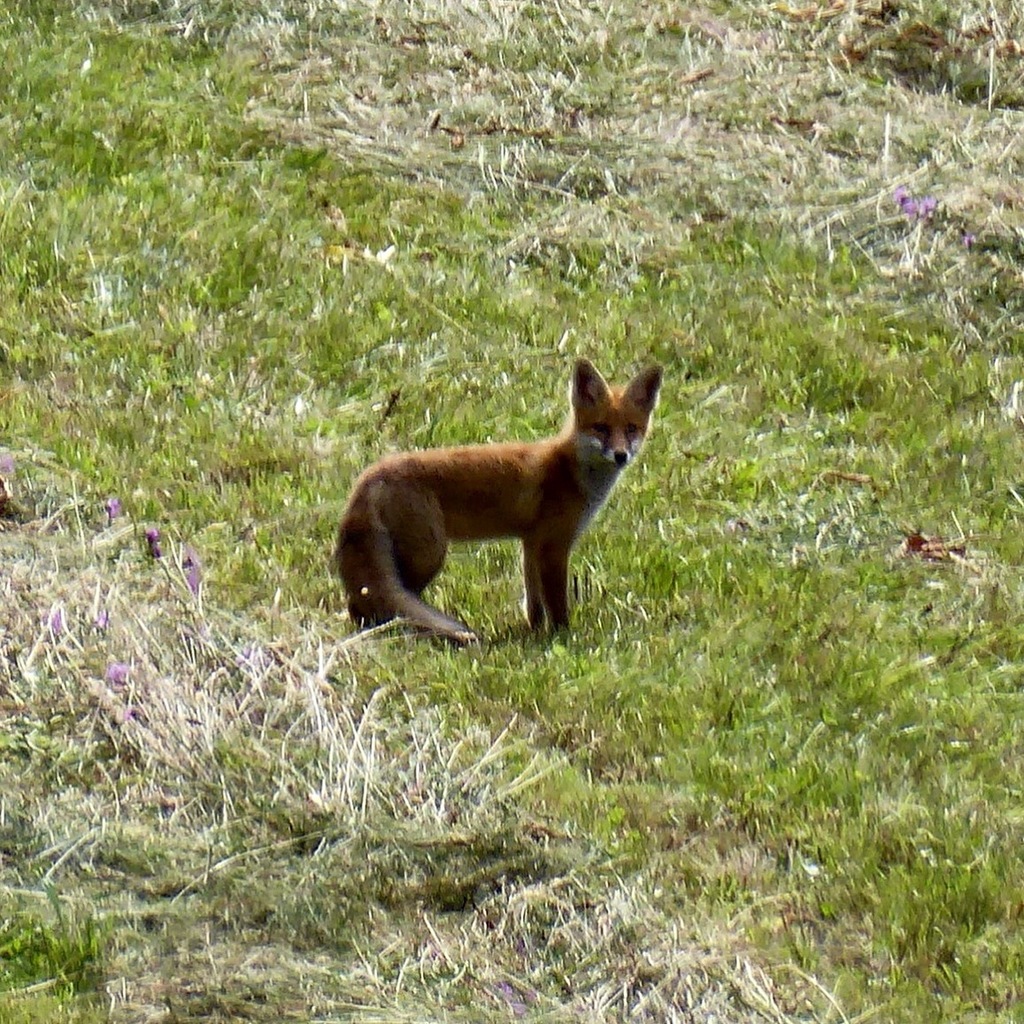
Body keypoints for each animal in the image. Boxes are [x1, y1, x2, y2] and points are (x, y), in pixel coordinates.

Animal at [332, 358, 663, 645]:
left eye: (631, 429)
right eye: (601, 428)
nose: (621, 455)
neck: (571, 470)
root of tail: (369, 475)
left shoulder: (531, 543)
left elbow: (534, 602)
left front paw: (534, 633)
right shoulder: (554, 546)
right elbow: (557, 603)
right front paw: (563, 637)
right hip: (428, 555)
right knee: (372, 602)